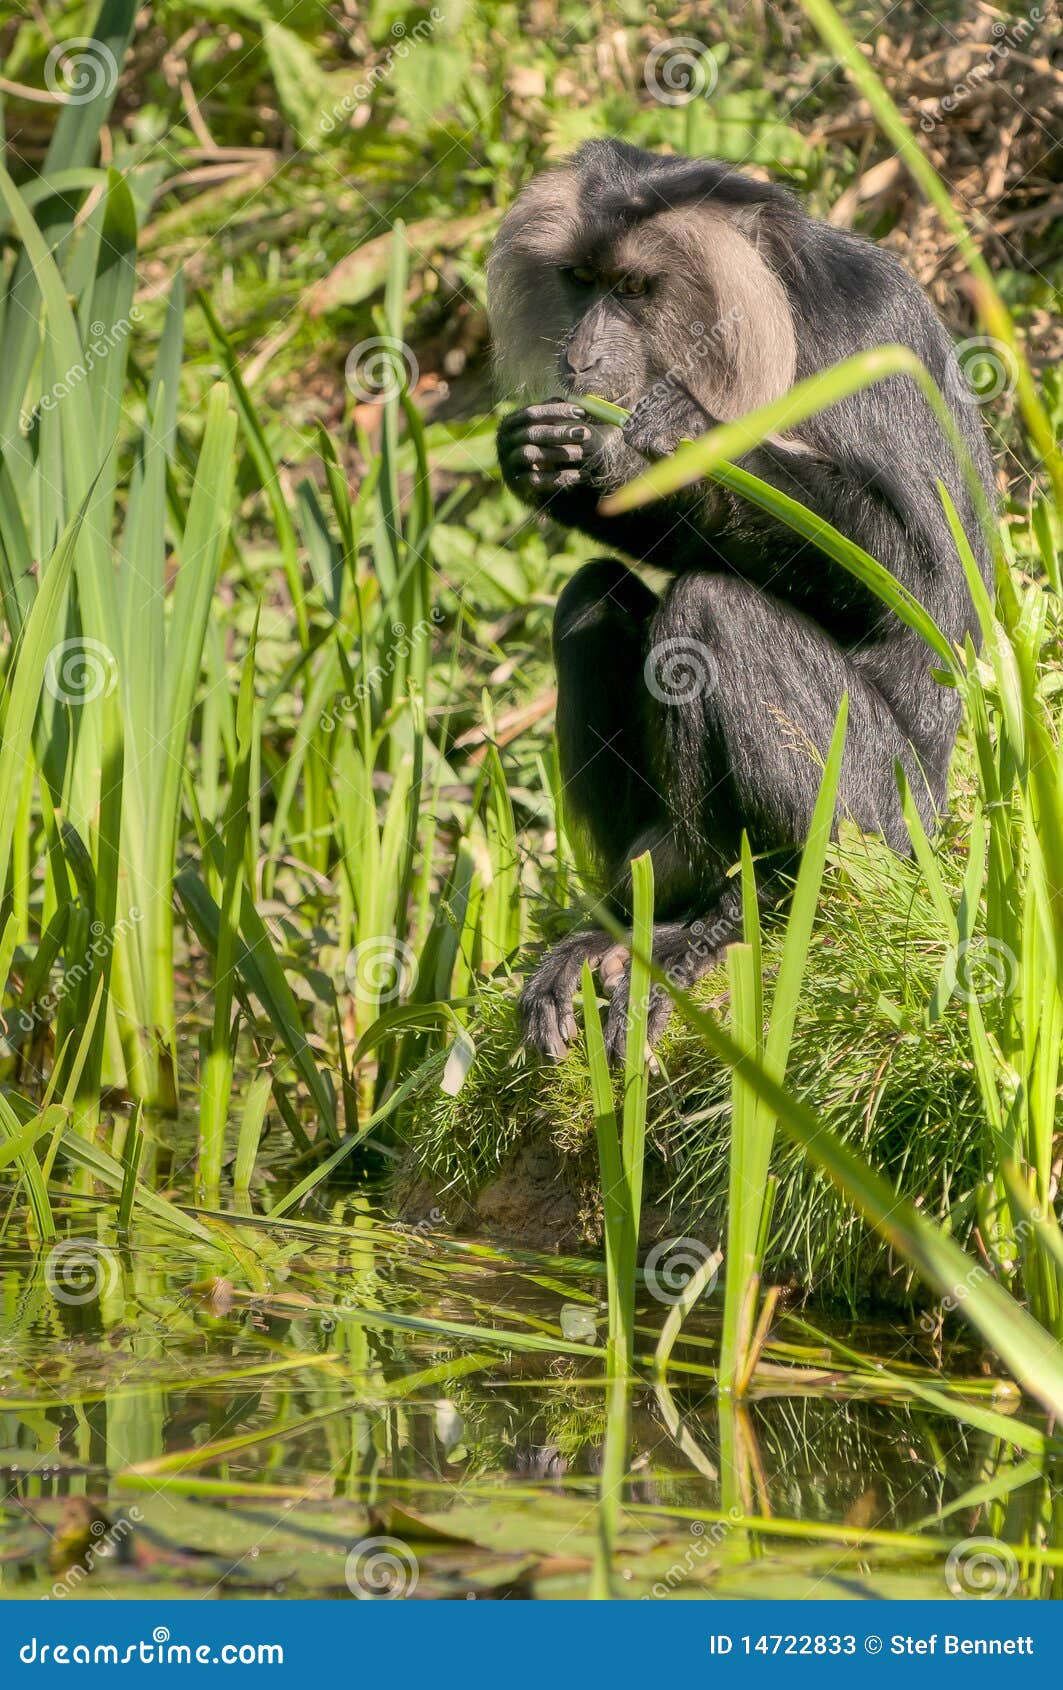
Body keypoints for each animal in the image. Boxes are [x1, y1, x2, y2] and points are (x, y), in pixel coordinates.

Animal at [486, 139, 996, 1064]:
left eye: (634, 291)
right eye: (582, 280)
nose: (579, 359)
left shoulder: (865, 331)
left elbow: (914, 579)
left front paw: (683, 433)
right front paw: (548, 457)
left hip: (887, 814)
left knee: (711, 615)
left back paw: (721, 913)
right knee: (593, 597)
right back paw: (643, 908)